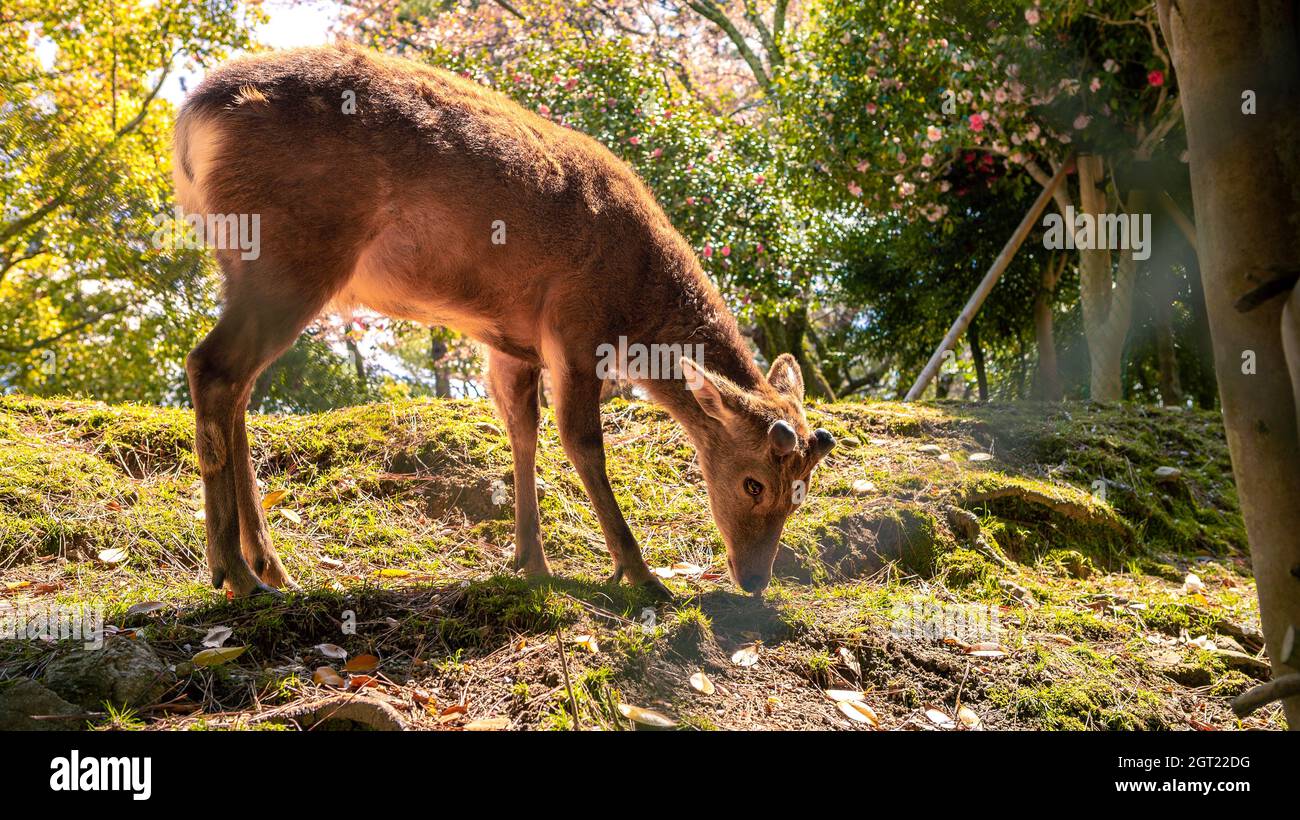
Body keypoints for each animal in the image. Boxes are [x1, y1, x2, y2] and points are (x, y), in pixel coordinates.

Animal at [173, 44, 835, 601]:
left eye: (802, 494)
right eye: (754, 483)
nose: (755, 581)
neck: (638, 301)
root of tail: (192, 117)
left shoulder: (511, 343)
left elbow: (522, 430)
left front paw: (531, 562)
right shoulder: (575, 323)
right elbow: (581, 442)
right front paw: (641, 576)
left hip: (241, 260)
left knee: (238, 387)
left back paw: (271, 567)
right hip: (293, 252)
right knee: (213, 366)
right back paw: (233, 573)